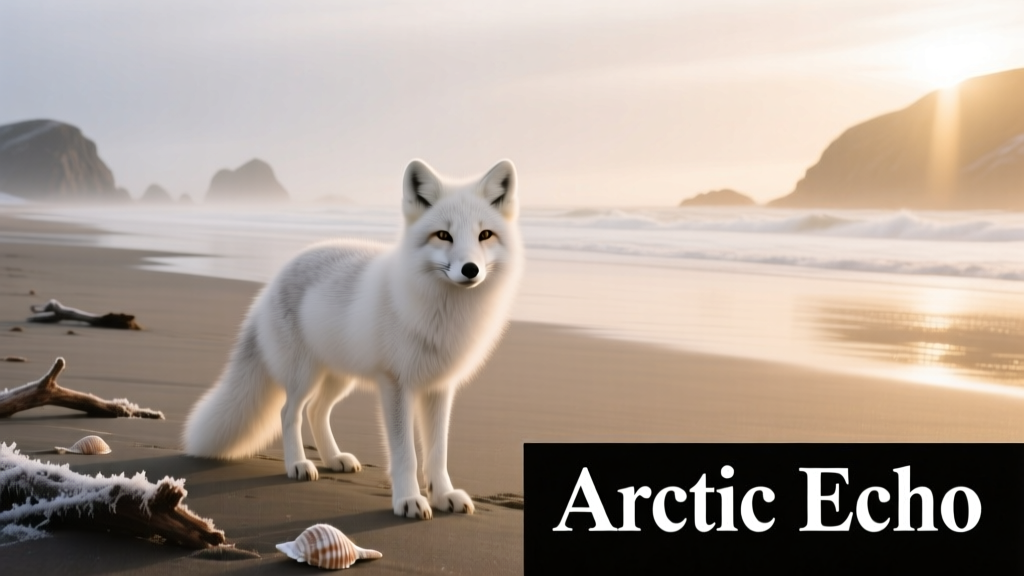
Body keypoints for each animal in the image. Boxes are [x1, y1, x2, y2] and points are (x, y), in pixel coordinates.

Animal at [182, 159, 522, 519]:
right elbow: (406, 454)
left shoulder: (439, 387)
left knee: (317, 411)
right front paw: (408, 499)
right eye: (443, 235)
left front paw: (443, 495)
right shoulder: (396, 384)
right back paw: (298, 464)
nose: (470, 269)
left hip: (339, 378)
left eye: (485, 235)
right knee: (290, 413)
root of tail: (270, 284)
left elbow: (437, 452)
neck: (443, 312)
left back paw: (333, 459)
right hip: (304, 376)